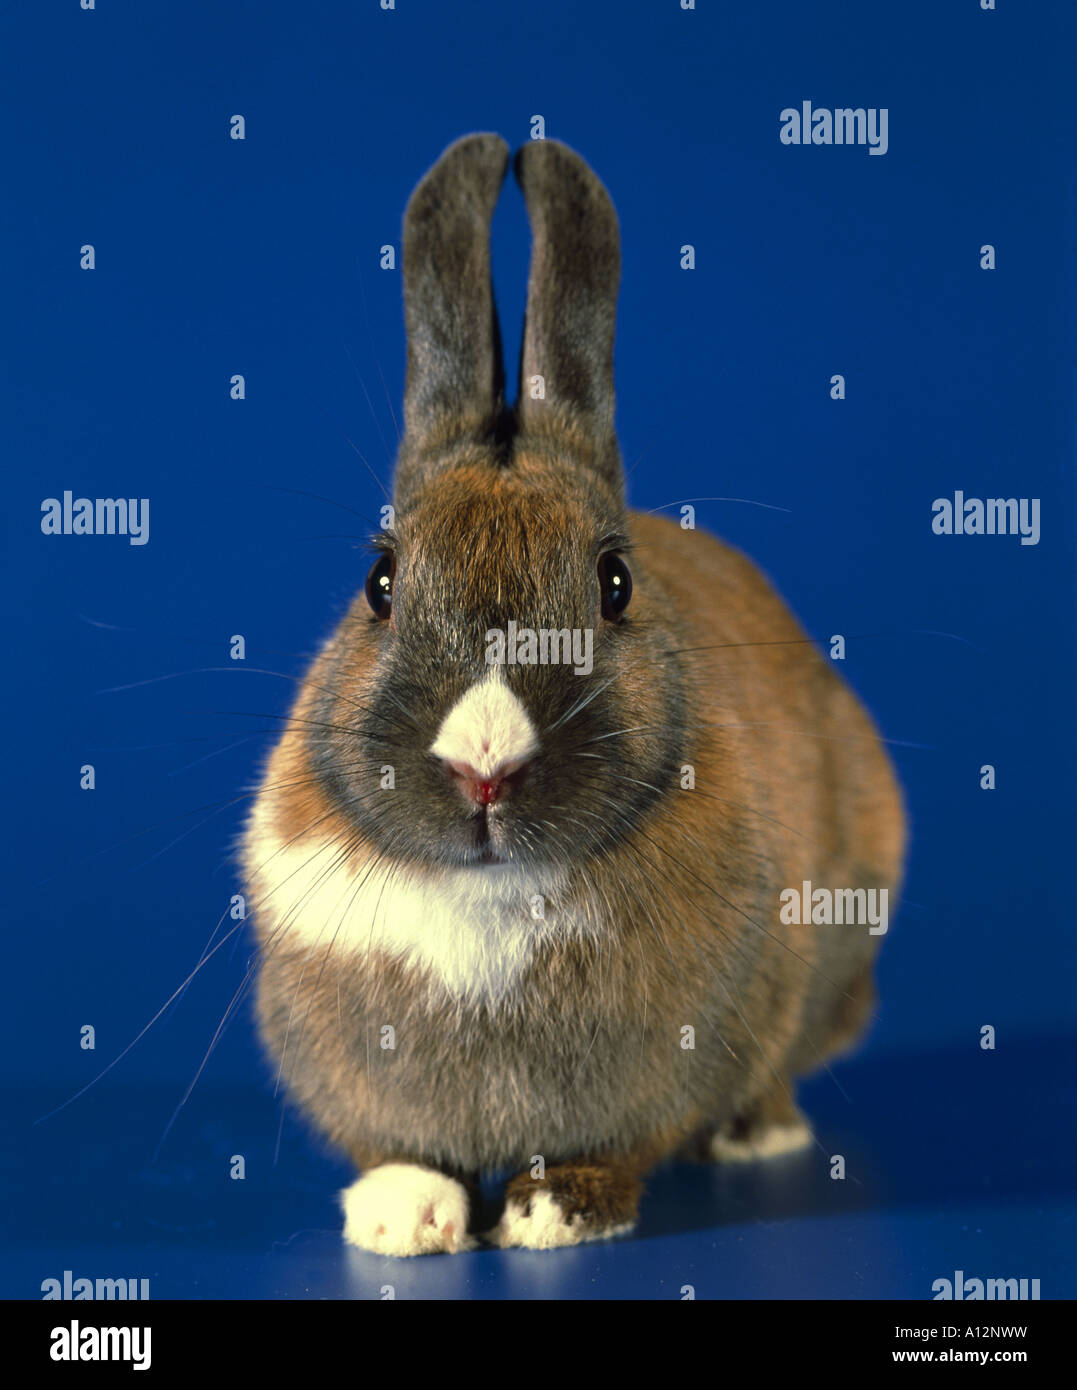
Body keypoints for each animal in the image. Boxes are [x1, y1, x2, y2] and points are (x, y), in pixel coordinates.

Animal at [242, 133, 905, 1255]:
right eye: (381, 580)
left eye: (615, 582)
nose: (484, 768)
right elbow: (405, 1149)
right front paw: (402, 1216)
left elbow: (616, 1146)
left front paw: (555, 1211)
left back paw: (757, 1134)